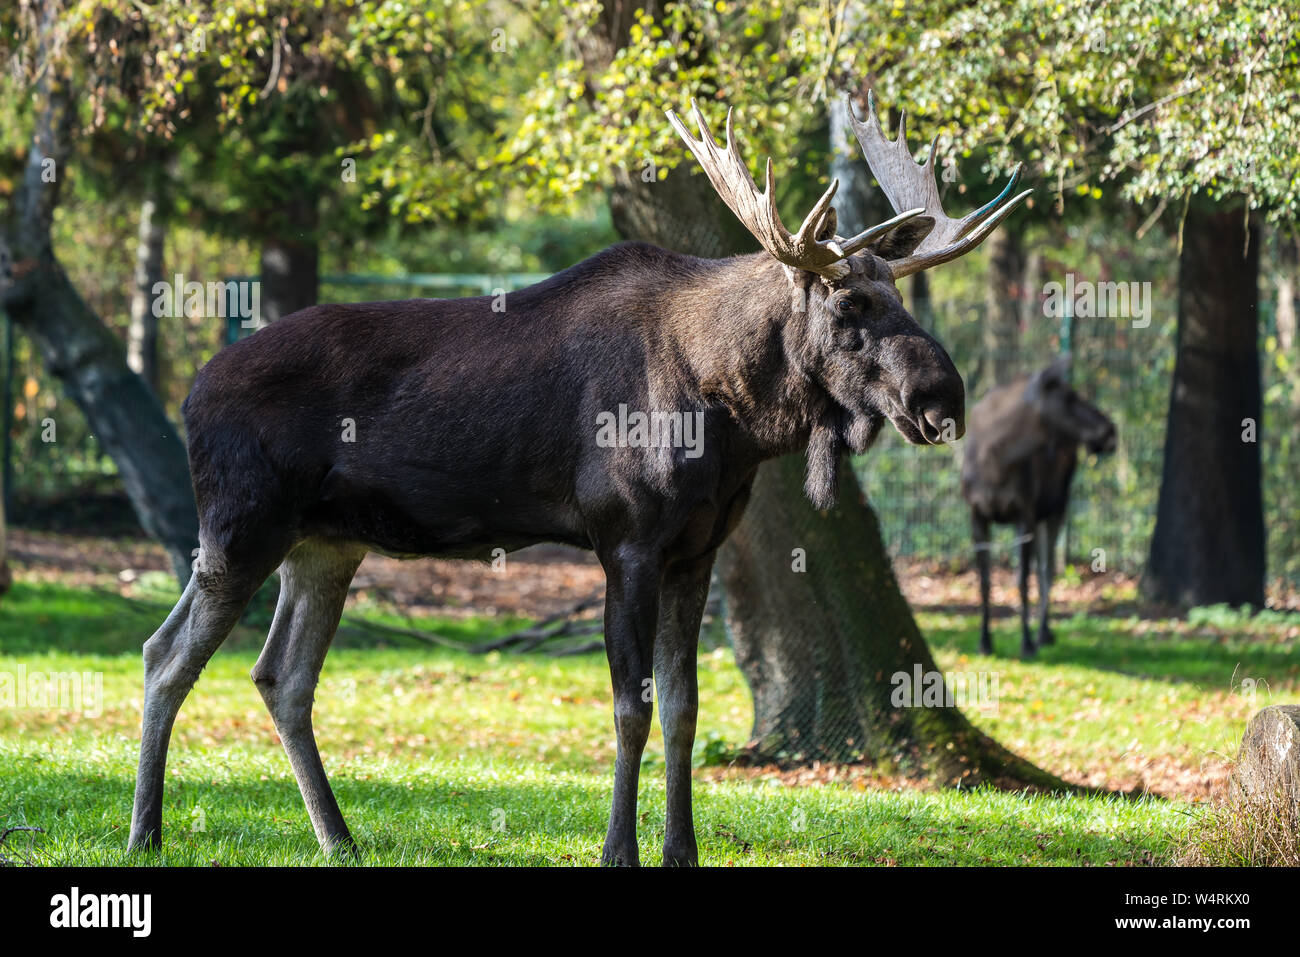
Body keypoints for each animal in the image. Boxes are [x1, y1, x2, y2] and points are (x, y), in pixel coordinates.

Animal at [128, 91, 1030, 866]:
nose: (941, 395)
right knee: (164, 653)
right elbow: (633, 706)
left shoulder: (697, 551)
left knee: (281, 676)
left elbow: (685, 707)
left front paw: (681, 849)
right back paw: (146, 832)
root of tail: (189, 390)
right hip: (241, 525)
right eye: (848, 310)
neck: (731, 413)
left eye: (899, 294)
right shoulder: (624, 539)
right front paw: (619, 849)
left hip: (325, 544)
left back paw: (338, 837)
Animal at [960, 356, 1117, 659]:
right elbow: (985, 581)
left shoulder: (1026, 514)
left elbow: (1023, 580)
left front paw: (1027, 642)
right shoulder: (977, 515)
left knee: (1046, 569)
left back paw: (1044, 632)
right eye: (1069, 397)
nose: (1110, 431)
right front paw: (985, 642)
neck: (996, 461)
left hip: (1056, 507)